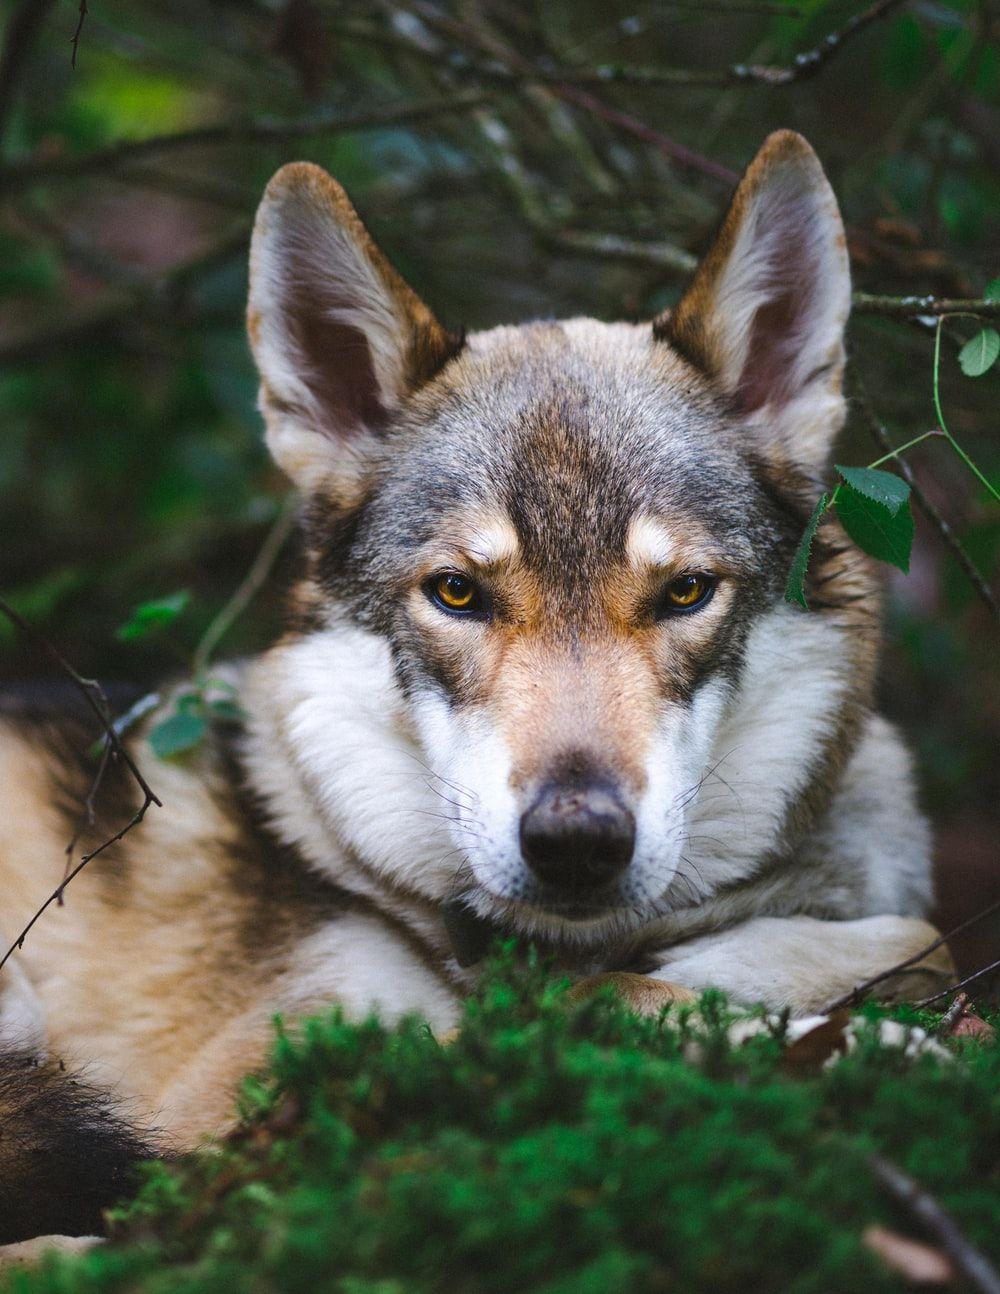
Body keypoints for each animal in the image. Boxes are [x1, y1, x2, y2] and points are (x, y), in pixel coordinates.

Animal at [0, 131, 953, 1247]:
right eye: (458, 592)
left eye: (683, 592)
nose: (576, 840)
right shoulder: (252, 1084)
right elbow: (597, 1009)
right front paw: (862, 1043)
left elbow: (892, 940)